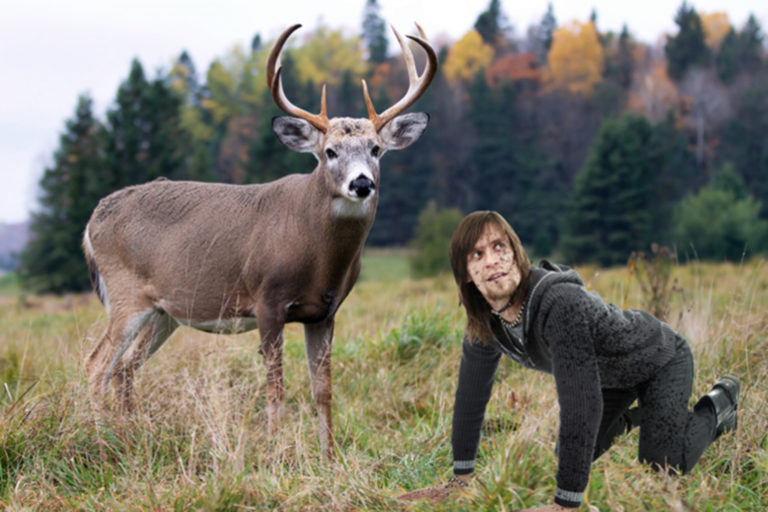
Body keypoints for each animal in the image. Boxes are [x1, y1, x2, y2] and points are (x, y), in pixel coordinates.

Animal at [82, 22, 436, 457]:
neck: (318, 256)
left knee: (125, 369)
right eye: (329, 151)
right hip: (125, 295)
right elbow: (276, 388)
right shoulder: (267, 299)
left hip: (163, 312)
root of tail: (93, 220)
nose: (362, 183)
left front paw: (329, 457)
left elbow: (323, 390)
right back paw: (104, 442)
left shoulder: (325, 311)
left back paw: (129, 437)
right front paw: (271, 452)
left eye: (375, 149)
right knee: (97, 365)